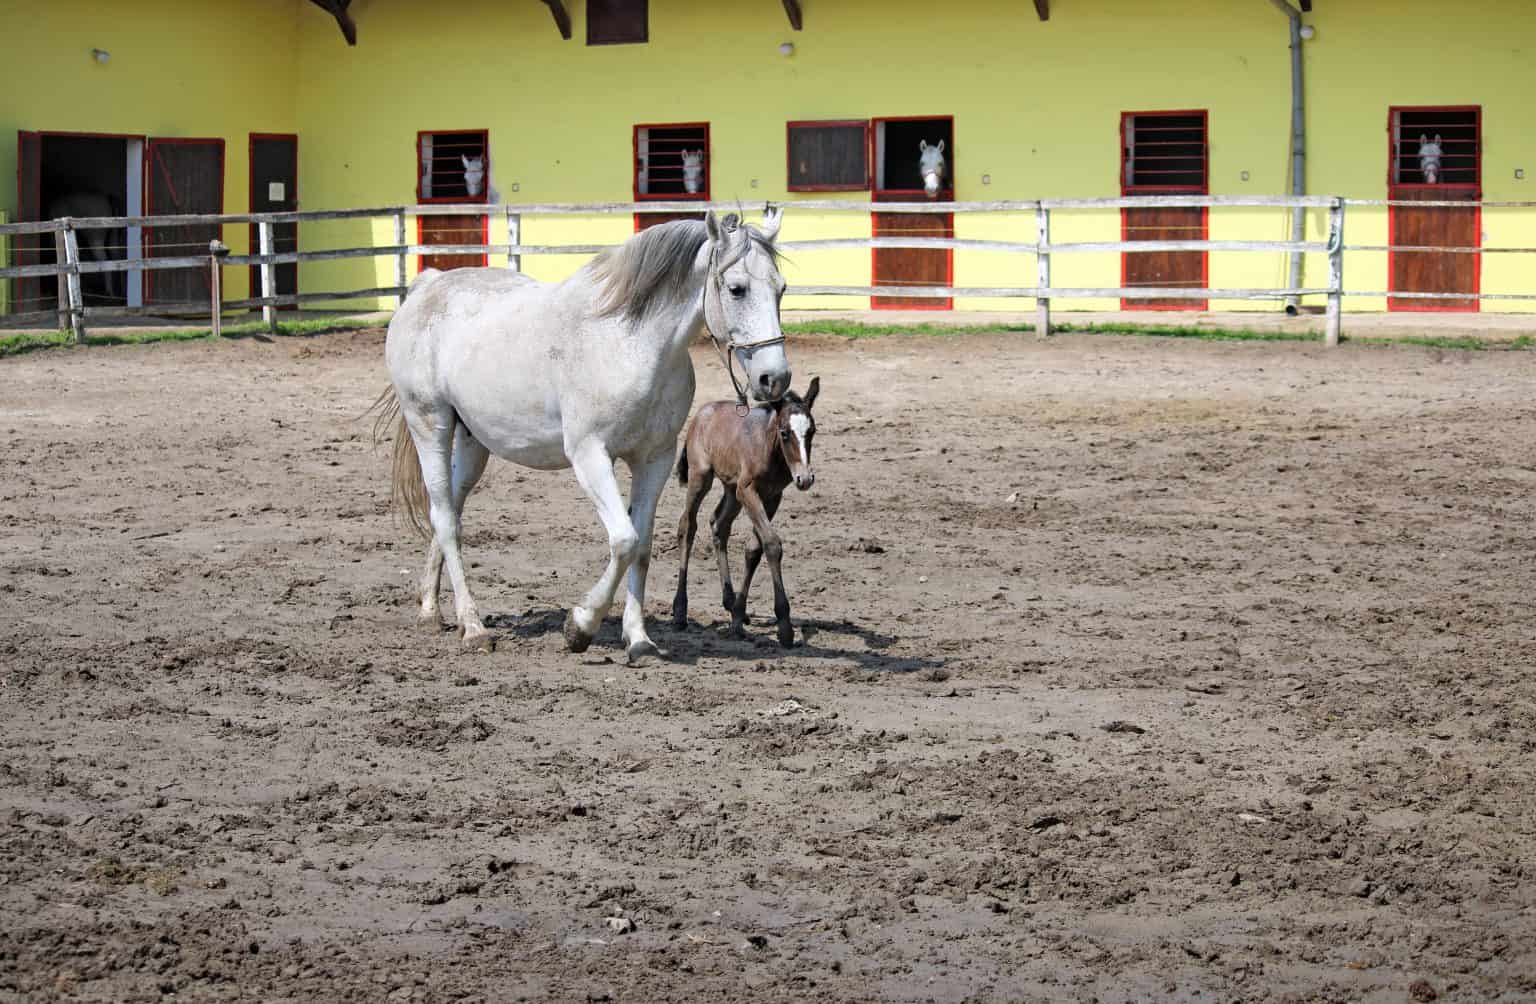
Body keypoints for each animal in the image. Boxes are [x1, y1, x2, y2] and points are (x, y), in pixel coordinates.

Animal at [373, 208, 792, 664]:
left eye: (781, 289)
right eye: (736, 289)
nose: (775, 378)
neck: (630, 344)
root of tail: (428, 286)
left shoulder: (655, 460)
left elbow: (642, 546)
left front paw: (638, 639)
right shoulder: (590, 455)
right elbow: (623, 540)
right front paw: (580, 627)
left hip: (471, 444)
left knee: (447, 509)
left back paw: (430, 609)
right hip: (429, 424)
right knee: (447, 520)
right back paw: (473, 627)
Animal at [670, 377, 819, 649]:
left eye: (811, 431)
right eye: (785, 432)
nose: (804, 478)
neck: (769, 448)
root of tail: (702, 412)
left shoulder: (772, 496)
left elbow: (755, 549)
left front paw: (739, 614)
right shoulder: (748, 489)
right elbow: (772, 543)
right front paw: (784, 626)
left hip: (731, 489)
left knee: (719, 524)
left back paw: (729, 602)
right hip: (701, 477)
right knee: (687, 526)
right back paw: (680, 612)